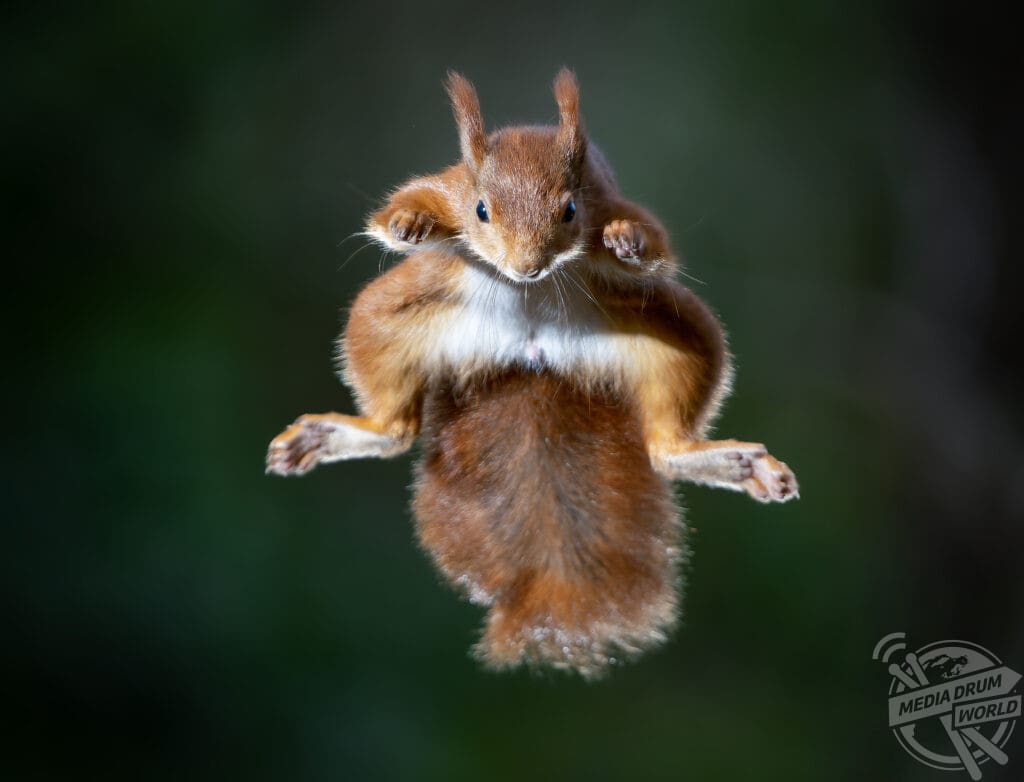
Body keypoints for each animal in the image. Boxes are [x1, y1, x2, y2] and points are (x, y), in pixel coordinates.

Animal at [266, 69, 798, 678]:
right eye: (480, 209)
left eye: (569, 210)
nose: (527, 268)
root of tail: (532, 357)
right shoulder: (447, 187)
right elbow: (402, 205)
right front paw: (408, 223)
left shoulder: (608, 200)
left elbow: (654, 243)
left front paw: (626, 240)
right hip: (384, 324)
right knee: (394, 426)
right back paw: (327, 436)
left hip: (677, 339)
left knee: (665, 443)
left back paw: (730, 462)